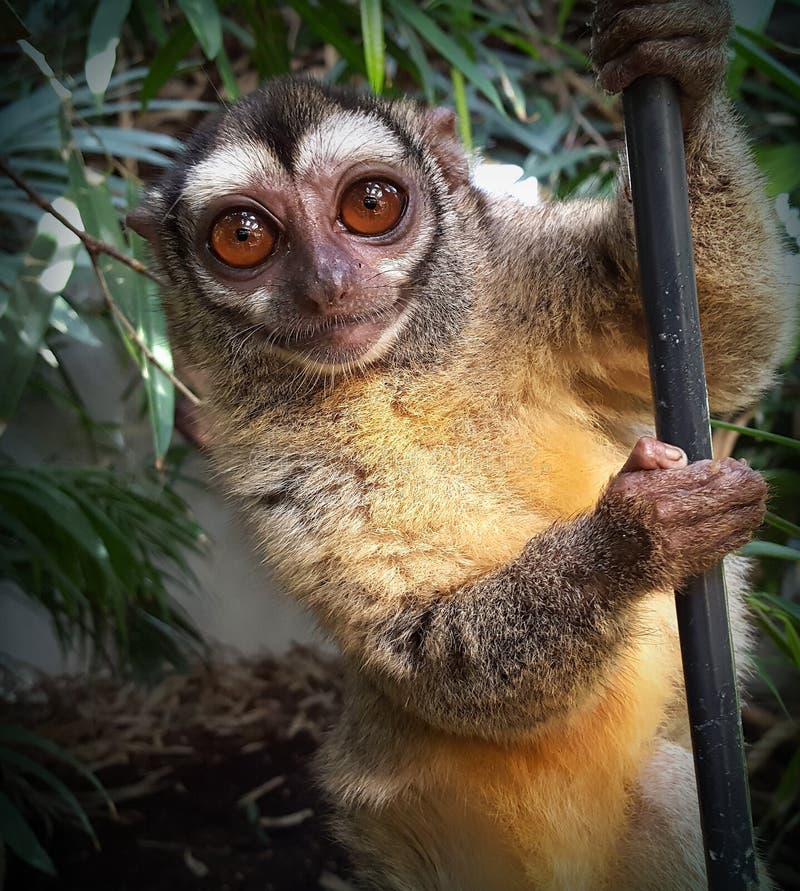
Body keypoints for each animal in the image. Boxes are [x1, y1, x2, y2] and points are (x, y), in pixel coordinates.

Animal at [127, 0, 794, 887]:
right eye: (243, 235)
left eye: (372, 203)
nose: (330, 283)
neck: (397, 367)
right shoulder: (269, 459)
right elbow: (425, 646)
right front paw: (645, 533)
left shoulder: (522, 279)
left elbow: (720, 341)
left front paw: (676, 61)